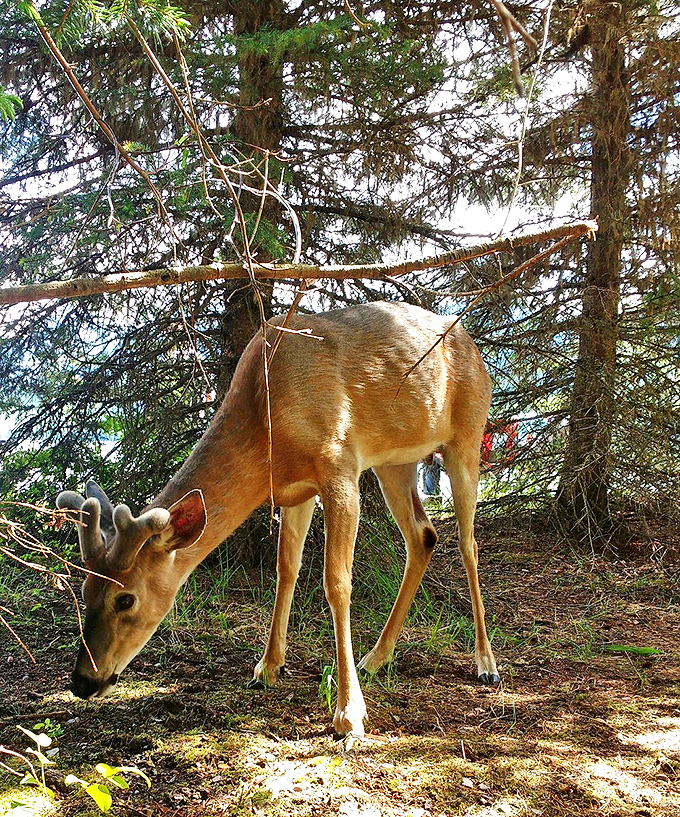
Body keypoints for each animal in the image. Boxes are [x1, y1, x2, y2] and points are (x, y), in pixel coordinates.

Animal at [57, 300, 499, 739]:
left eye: (125, 598)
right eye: (84, 588)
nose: (82, 682)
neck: (267, 423)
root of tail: (478, 355)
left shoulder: (339, 465)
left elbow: (336, 583)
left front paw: (349, 713)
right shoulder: (294, 490)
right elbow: (286, 569)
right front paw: (268, 666)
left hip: (467, 436)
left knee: (468, 545)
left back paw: (486, 664)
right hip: (396, 461)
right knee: (423, 536)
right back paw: (377, 657)